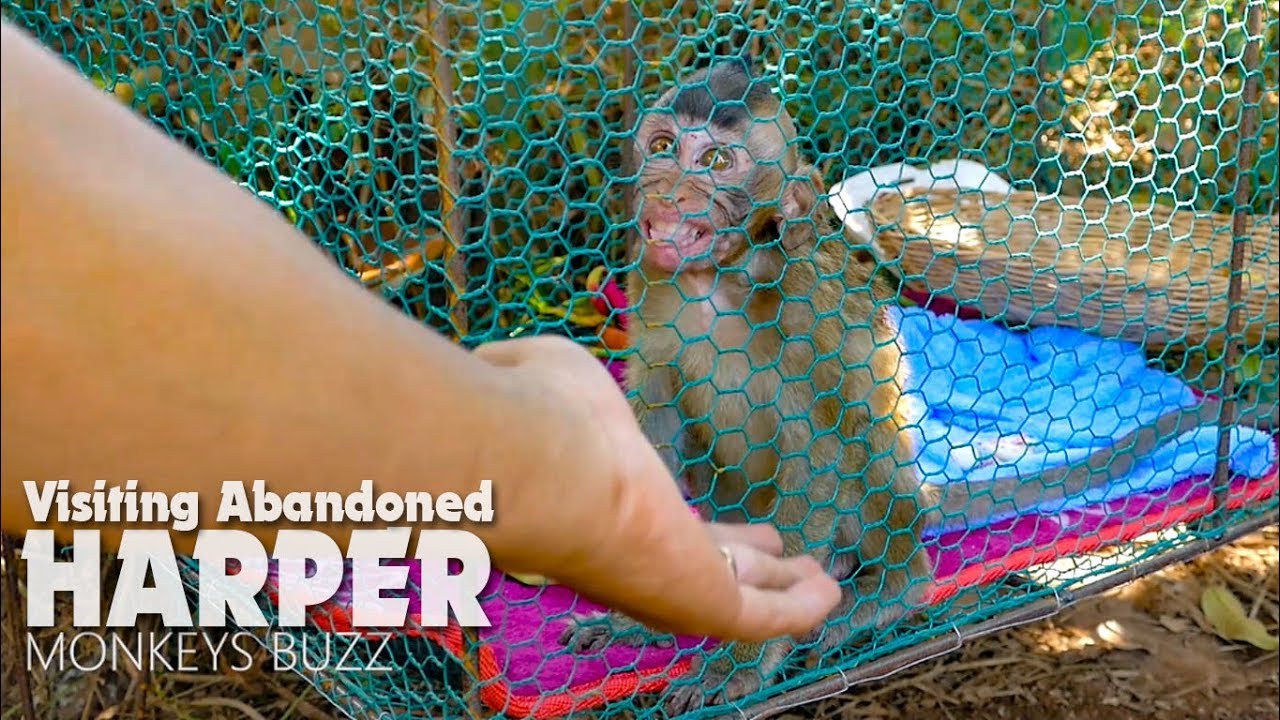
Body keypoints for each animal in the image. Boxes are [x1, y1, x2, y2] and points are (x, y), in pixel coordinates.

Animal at [559, 56, 1278, 716]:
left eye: (714, 160)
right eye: (662, 147)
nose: (669, 191)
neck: (719, 280)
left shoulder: (805, 308)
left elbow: (818, 454)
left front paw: (741, 660)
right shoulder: (652, 281)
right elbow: (654, 426)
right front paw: (642, 608)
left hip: (887, 504)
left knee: (863, 446)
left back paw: (888, 587)